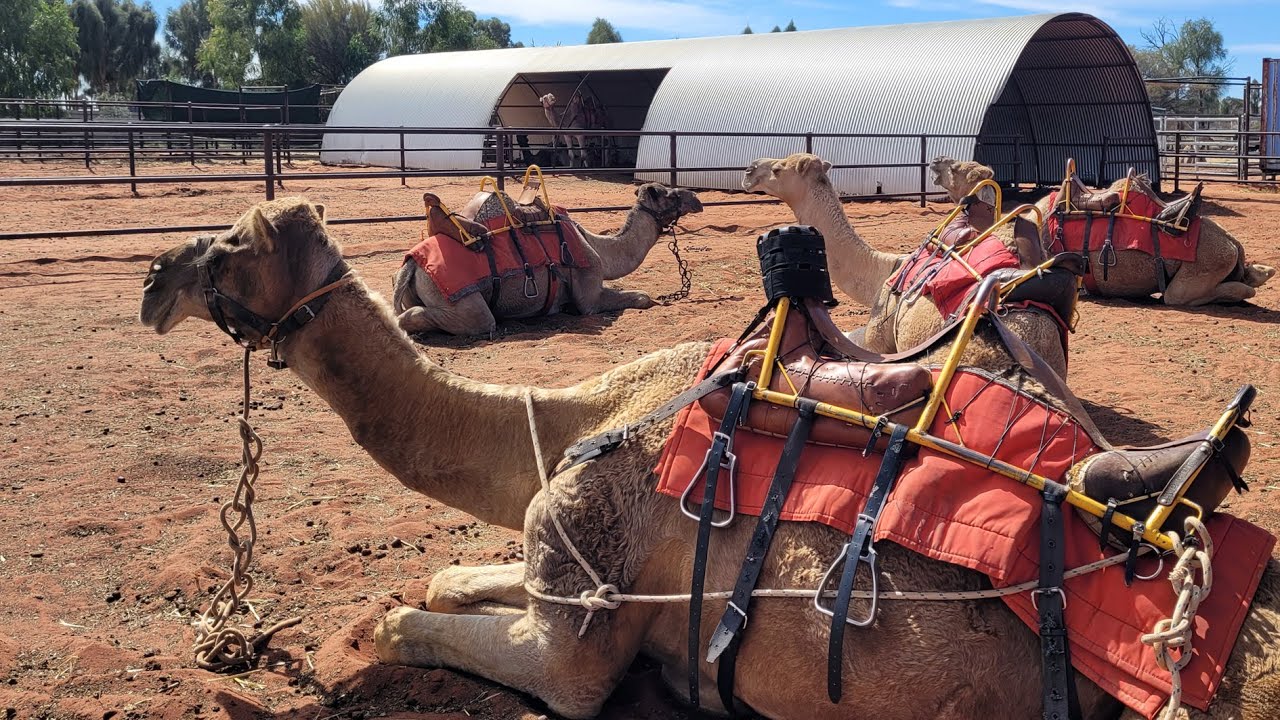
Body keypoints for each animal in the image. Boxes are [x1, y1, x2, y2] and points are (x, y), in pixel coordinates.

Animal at [392, 182, 703, 336]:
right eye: (669, 194)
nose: (696, 198)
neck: (597, 246)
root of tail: (412, 263)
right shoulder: (589, 293)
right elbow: (642, 297)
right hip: (462, 303)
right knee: (464, 320)